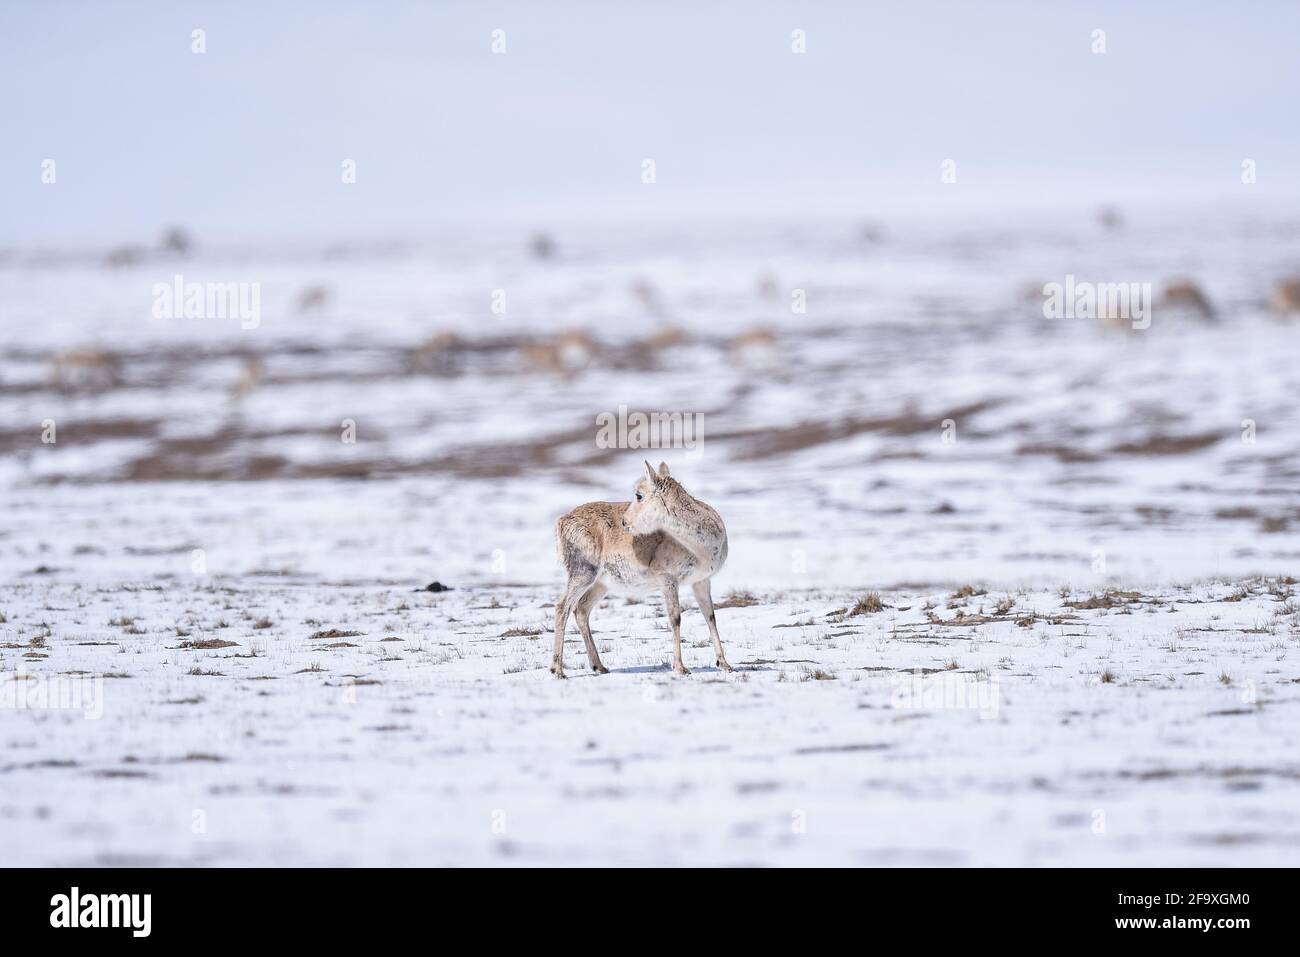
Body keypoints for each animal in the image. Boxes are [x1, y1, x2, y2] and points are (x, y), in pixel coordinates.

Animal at [552, 461, 732, 678]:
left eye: (639, 495)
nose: (624, 521)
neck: (701, 549)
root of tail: (561, 521)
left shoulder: (701, 580)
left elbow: (710, 617)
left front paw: (725, 664)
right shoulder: (667, 578)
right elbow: (675, 618)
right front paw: (680, 667)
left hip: (601, 584)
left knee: (581, 609)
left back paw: (599, 666)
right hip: (583, 572)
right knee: (562, 607)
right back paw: (558, 670)